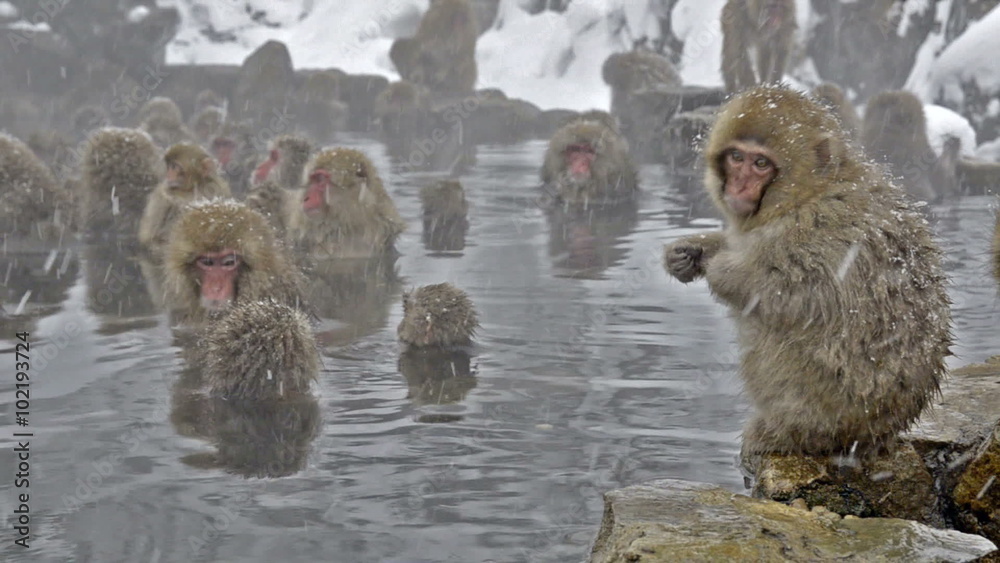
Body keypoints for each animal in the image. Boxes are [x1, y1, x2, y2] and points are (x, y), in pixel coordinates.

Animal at [663, 85, 951, 458]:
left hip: (831, 404)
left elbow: (805, 295)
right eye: (736, 157)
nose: (738, 186)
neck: (806, 194)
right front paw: (690, 251)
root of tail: (881, 431)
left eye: (760, 164)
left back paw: (780, 433)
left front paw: (722, 269)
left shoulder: (819, 230)